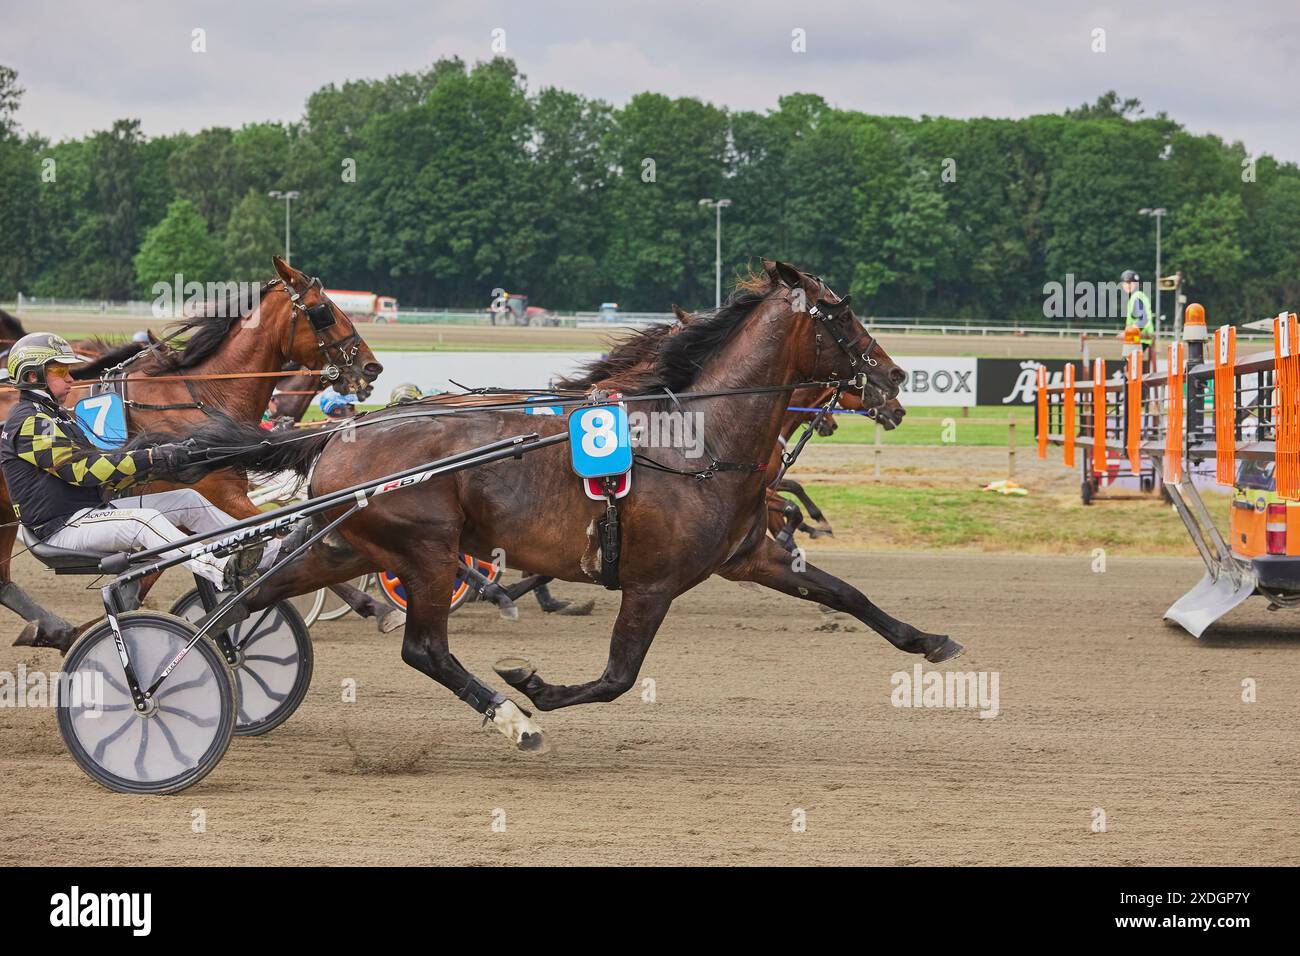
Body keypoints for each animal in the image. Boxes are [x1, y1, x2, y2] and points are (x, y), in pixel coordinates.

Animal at [152, 259, 964, 754]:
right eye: (840, 315)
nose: (895, 380)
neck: (700, 441)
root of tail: (344, 429)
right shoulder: (652, 582)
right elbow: (617, 677)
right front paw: (532, 686)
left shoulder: (750, 556)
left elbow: (844, 592)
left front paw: (929, 642)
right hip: (427, 550)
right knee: (424, 648)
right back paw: (510, 719)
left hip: (347, 543)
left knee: (249, 591)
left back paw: (209, 662)